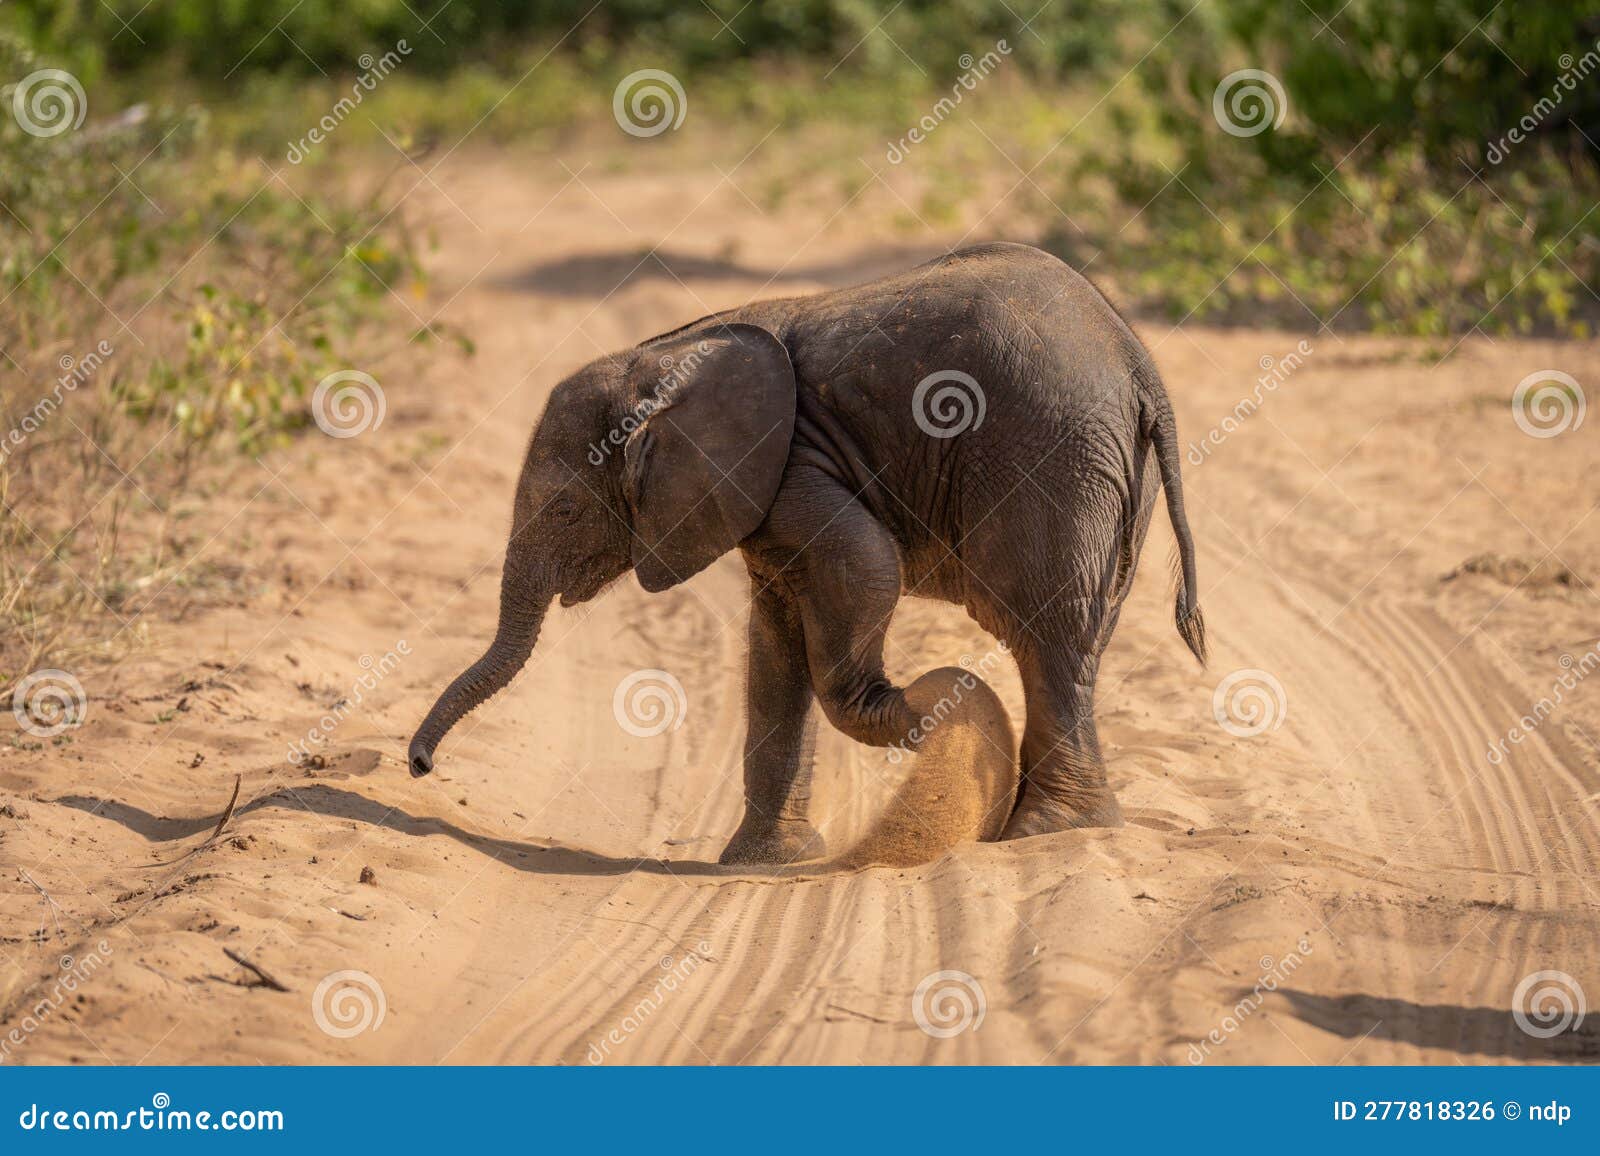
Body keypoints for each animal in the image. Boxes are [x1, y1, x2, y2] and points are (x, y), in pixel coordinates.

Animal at [408, 241, 1206, 865]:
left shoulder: (797, 464)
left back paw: (1043, 833)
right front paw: (763, 862)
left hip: (1053, 460)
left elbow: (867, 566)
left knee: (1048, 636)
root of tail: (1138, 364)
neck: (656, 360)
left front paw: (936, 703)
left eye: (565, 511)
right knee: (1076, 641)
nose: (418, 765)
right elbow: (775, 644)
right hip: (1107, 483)